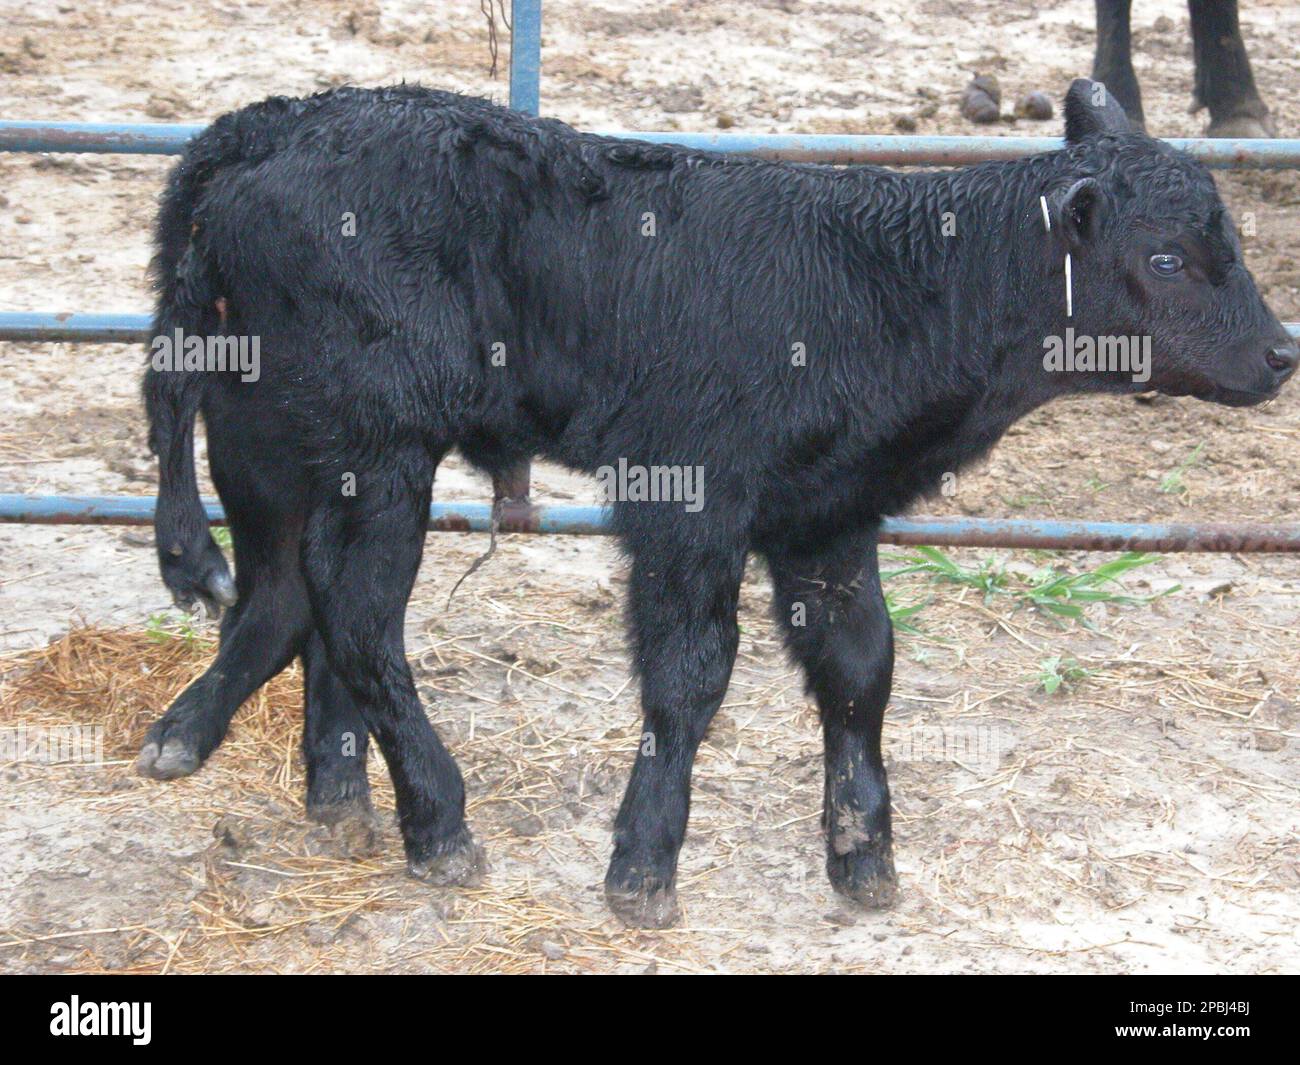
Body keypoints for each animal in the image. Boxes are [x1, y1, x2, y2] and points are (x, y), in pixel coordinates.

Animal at [138, 79, 1295, 927]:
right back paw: (438, 823)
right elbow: (689, 677)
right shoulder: (689, 503)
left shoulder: (831, 513)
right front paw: (643, 866)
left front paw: (862, 856)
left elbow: (859, 670)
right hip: (377, 443)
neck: (884, 290)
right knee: (359, 611)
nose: (1282, 353)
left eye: (1233, 247)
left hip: (272, 430)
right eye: (1165, 258)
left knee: (291, 595)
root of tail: (283, 118)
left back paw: (292, 782)